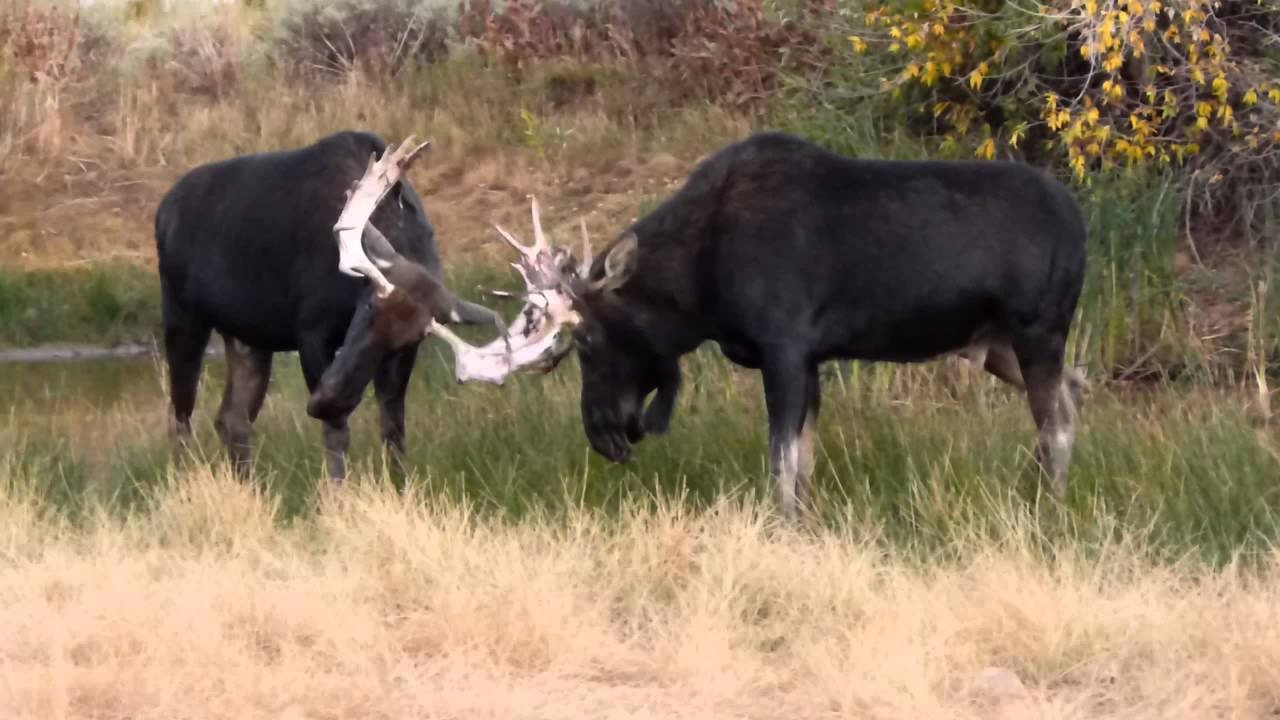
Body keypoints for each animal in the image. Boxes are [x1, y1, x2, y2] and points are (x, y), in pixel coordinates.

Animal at [155, 130, 508, 481]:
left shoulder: (404, 356)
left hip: (249, 339)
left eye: (406, 339)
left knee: (231, 419)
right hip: (182, 318)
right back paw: (181, 478)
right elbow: (337, 433)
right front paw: (337, 489)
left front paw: (398, 483)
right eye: (369, 307)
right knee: (180, 414)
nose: (327, 401)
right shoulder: (311, 332)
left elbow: (393, 429)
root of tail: (163, 209)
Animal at [321, 131, 1089, 518]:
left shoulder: (788, 349)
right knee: (1073, 402)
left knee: (1058, 420)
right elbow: (803, 462)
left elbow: (783, 463)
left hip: (1037, 331)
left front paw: (787, 528)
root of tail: (1079, 223)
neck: (698, 292)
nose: (606, 434)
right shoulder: (808, 362)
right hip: (1001, 346)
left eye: (588, 340)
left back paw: (1050, 508)